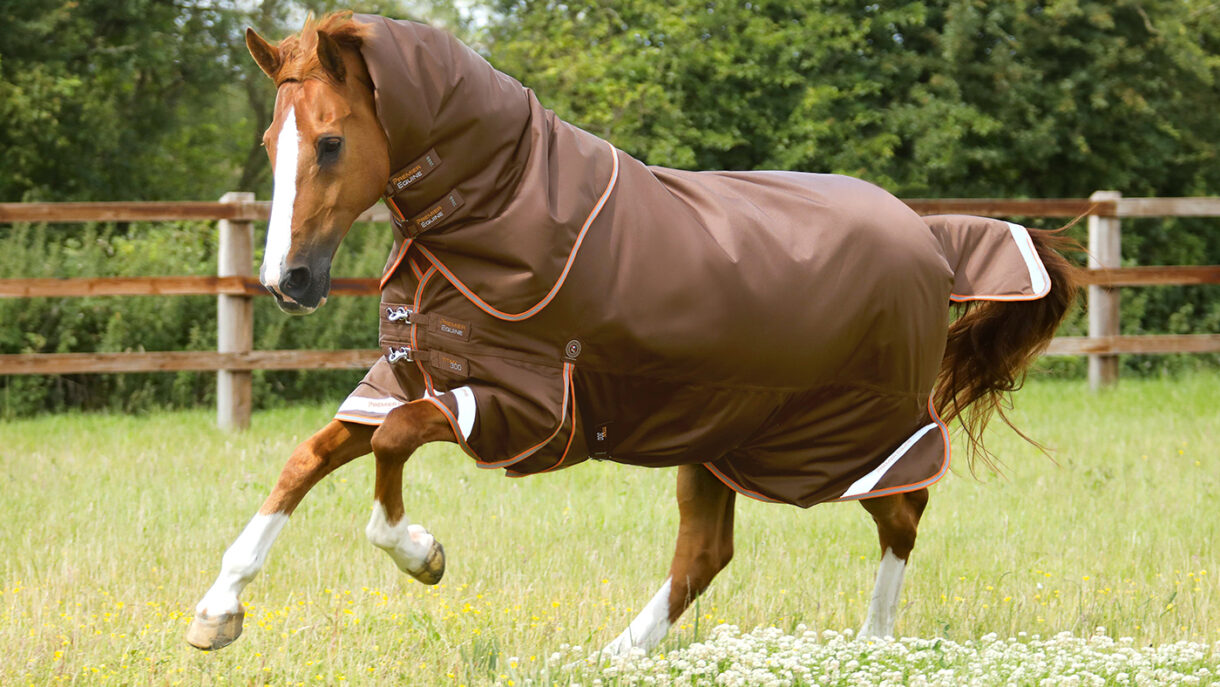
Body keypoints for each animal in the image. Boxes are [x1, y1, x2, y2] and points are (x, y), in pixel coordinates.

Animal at [186, 12, 1076, 654]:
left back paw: (873, 645)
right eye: (270, 143)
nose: (290, 281)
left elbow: (392, 445)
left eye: (332, 141)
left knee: (904, 514)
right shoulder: (411, 374)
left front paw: (423, 554)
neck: (507, 210)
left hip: (850, 440)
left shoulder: (516, 406)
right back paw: (618, 653)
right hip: (723, 438)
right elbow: (309, 458)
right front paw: (216, 613)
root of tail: (931, 238)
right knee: (707, 553)